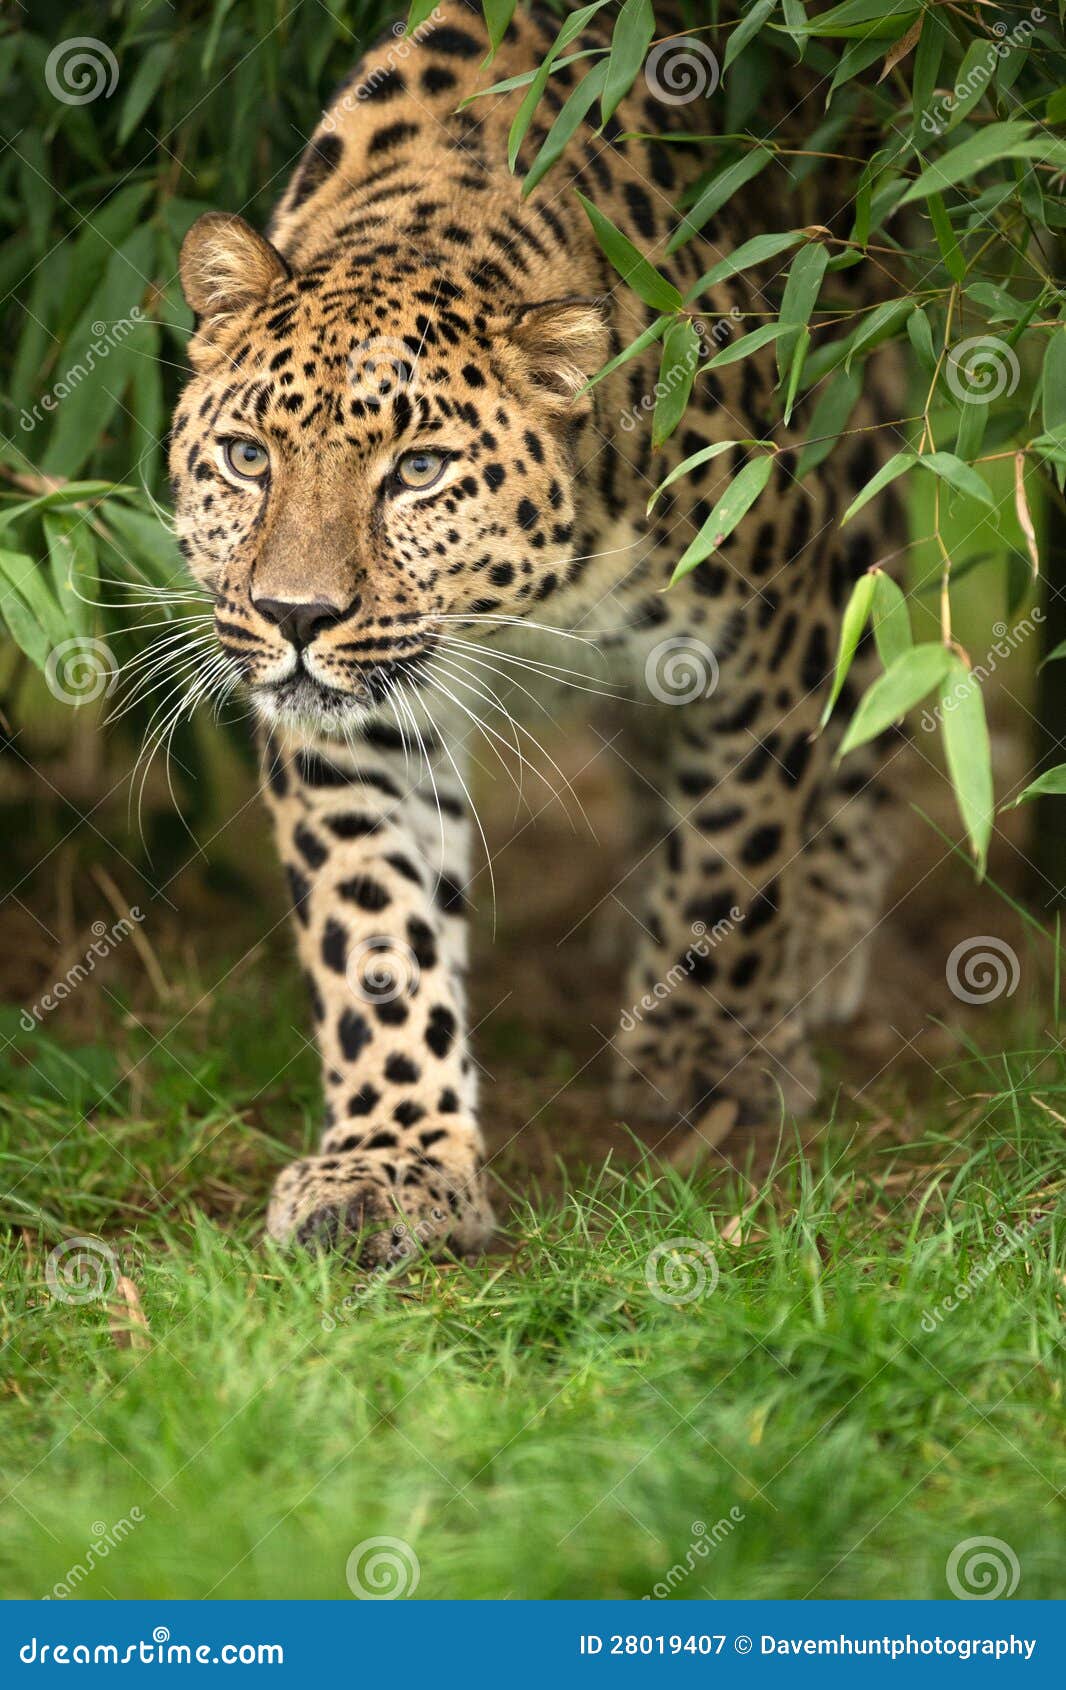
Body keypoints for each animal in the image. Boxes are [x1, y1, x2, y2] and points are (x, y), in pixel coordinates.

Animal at [168, 0, 906, 1265]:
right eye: (247, 456)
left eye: (417, 472)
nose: (296, 615)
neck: (524, 603)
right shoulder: (355, 723)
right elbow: (375, 928)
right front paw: (394, 1159)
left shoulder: (770, 614)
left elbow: (736, 844)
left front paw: (703, 1055)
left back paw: (823, 936)